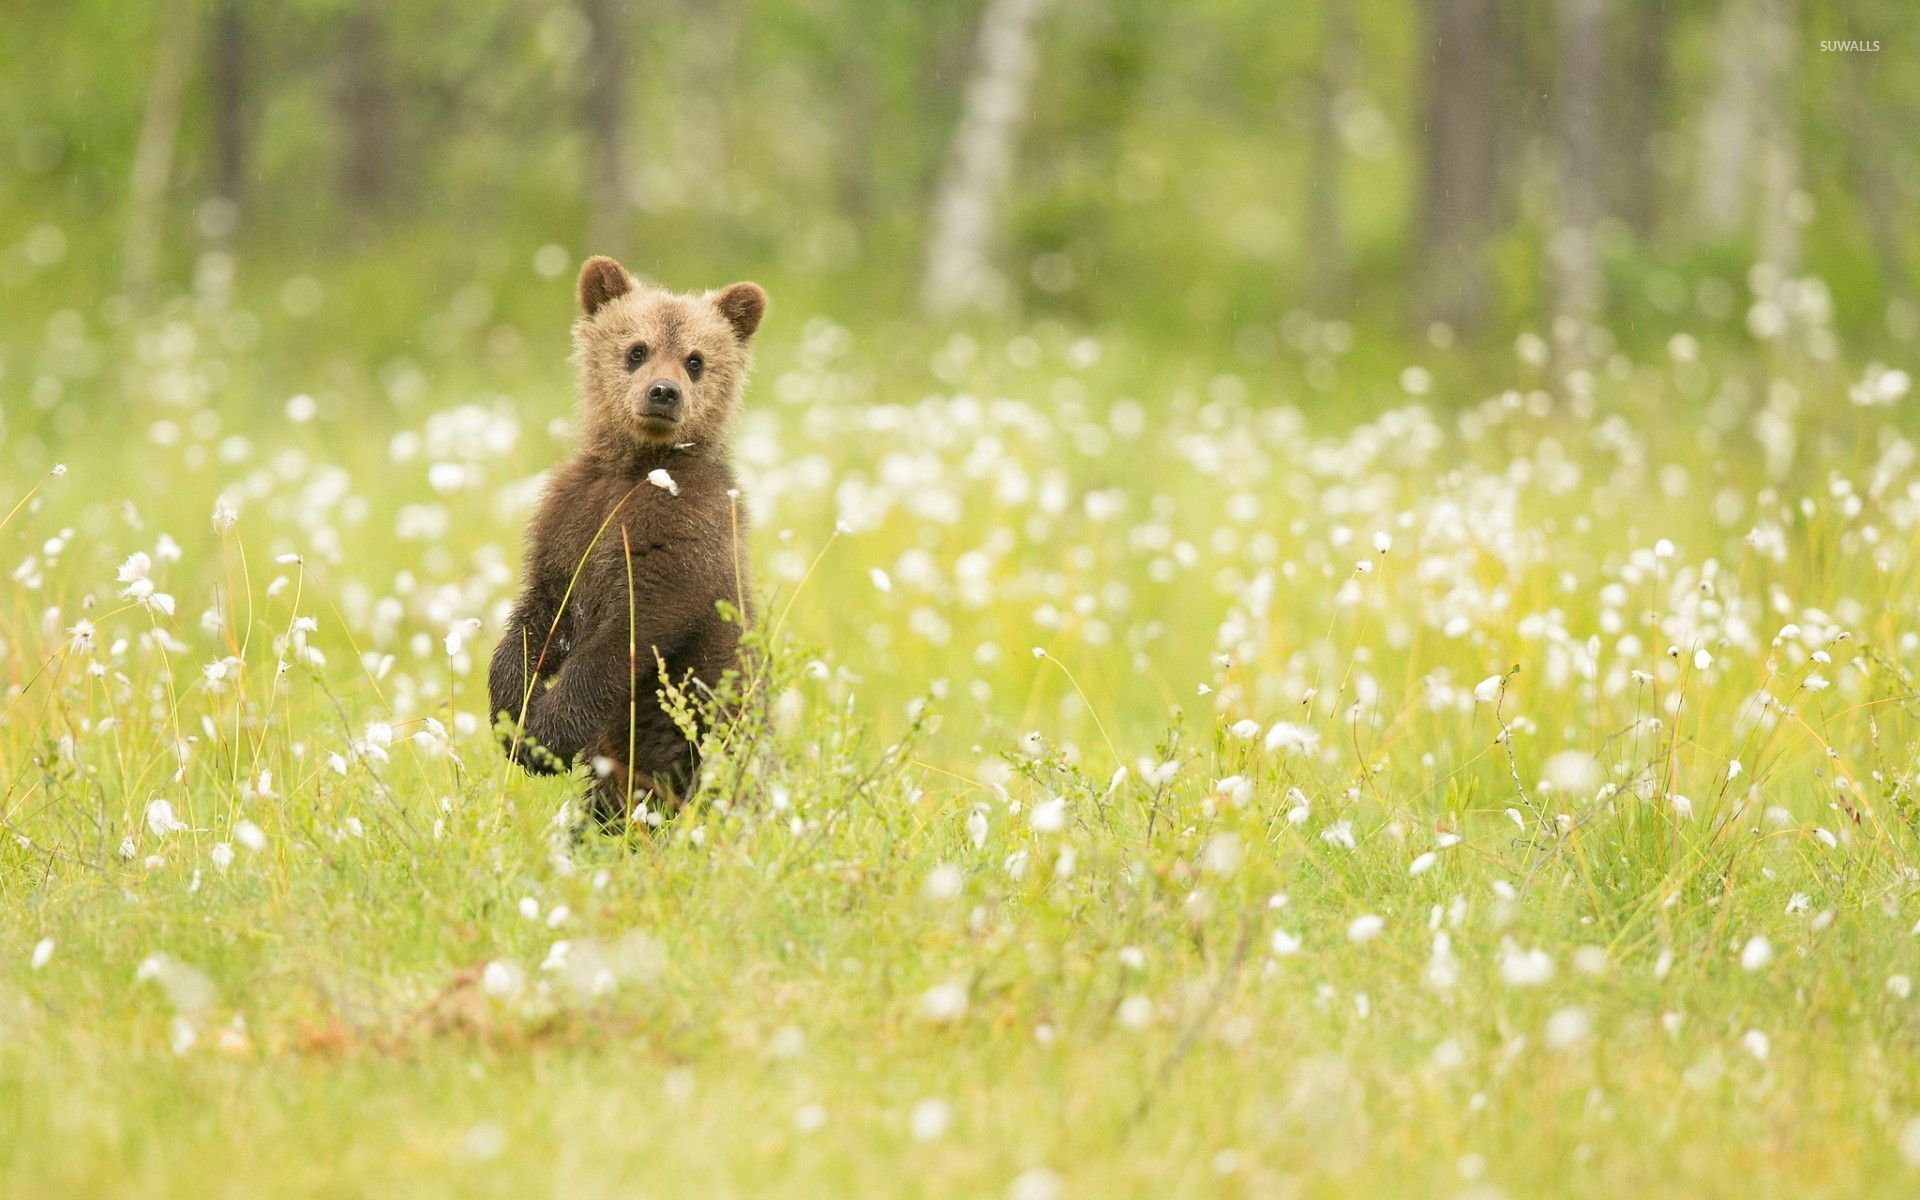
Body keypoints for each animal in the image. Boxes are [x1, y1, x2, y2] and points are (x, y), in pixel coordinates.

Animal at [488, 255, 765, 828]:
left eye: (695, 360)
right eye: (637, 349)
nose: (663, 392)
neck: (637, 466)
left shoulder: (682, 533)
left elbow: (630, 631)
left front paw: (547, 734)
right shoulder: (570, 520)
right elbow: (540, 612)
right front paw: (511, 709)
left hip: (698, 737)